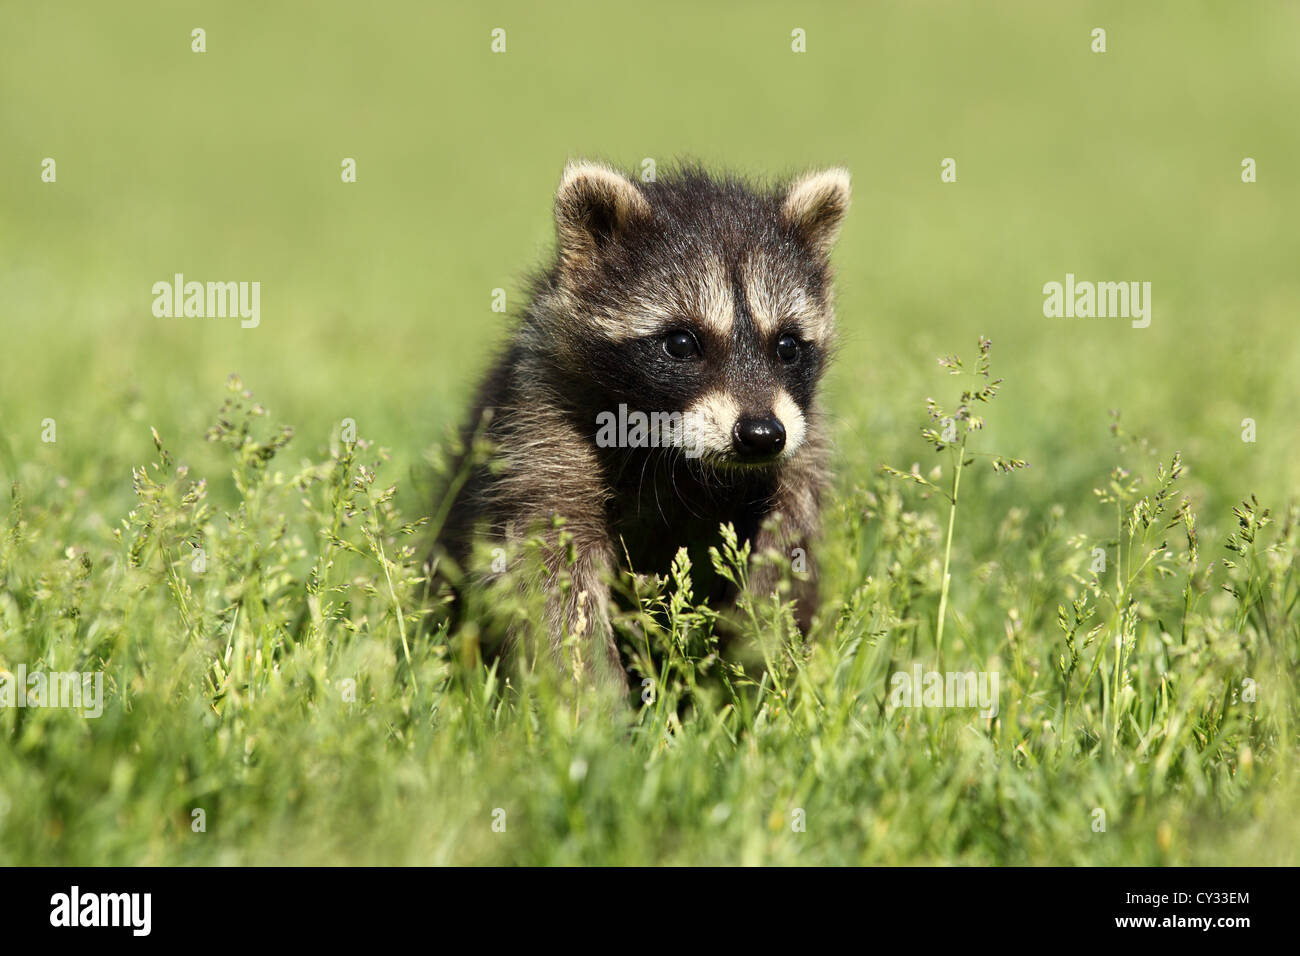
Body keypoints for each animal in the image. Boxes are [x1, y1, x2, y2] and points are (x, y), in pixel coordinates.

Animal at [433, 160, 850, 693]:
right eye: (682, 343)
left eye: (788, 346)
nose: (760, 436)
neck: (681, 459)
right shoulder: (542, 429)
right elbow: (552, 576)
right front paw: (591, 694)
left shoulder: (801, 444)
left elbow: (786, 549)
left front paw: (757, 659)